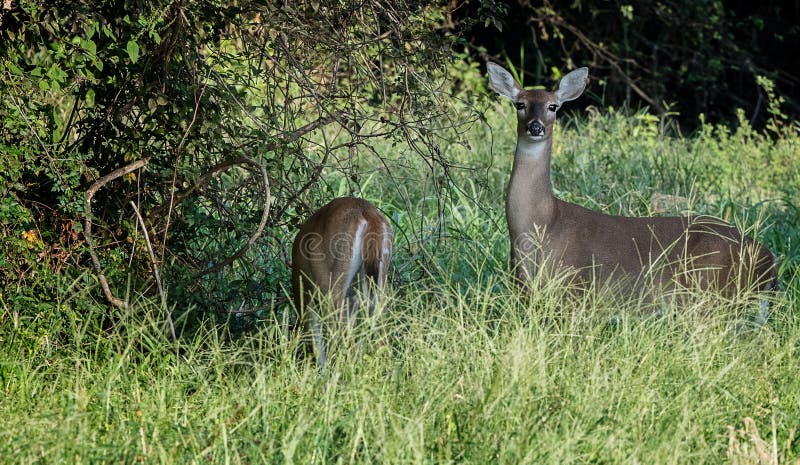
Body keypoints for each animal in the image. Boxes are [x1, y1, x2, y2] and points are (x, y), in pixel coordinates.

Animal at [486, 61, 776, 308]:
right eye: (520, 104)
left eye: (553, 107)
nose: (535, 127)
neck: (542, 225)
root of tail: (769, 263)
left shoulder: (576, 287)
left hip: (709, 283)